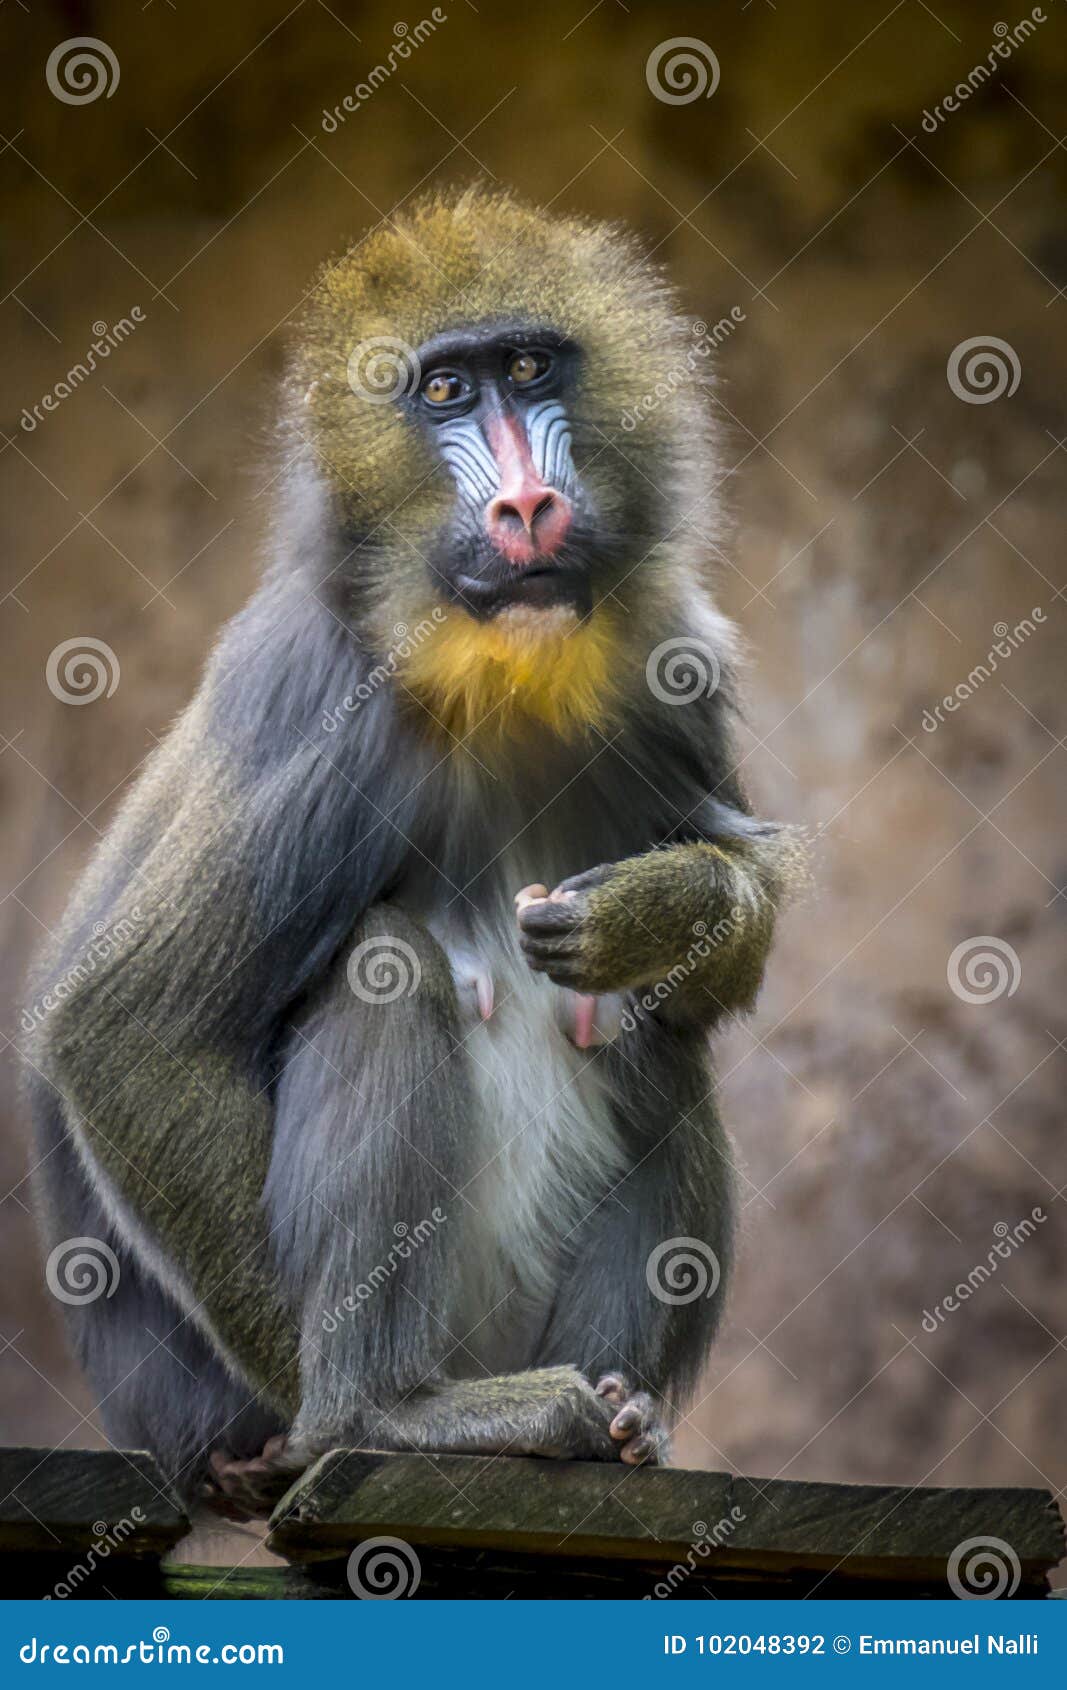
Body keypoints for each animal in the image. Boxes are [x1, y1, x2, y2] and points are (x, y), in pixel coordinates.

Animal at [26, 186, 802, 1514]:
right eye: (443, 392)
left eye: (528, 369)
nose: (525, 508)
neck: (500, 669)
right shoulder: (346, 718)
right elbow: (126, 1031)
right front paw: (333, 1410)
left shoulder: (678, 664)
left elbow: (714, 935)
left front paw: (660, 909)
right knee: (381, 964)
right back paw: (389, 1409)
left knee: (654, 1029)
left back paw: (622, 1420)